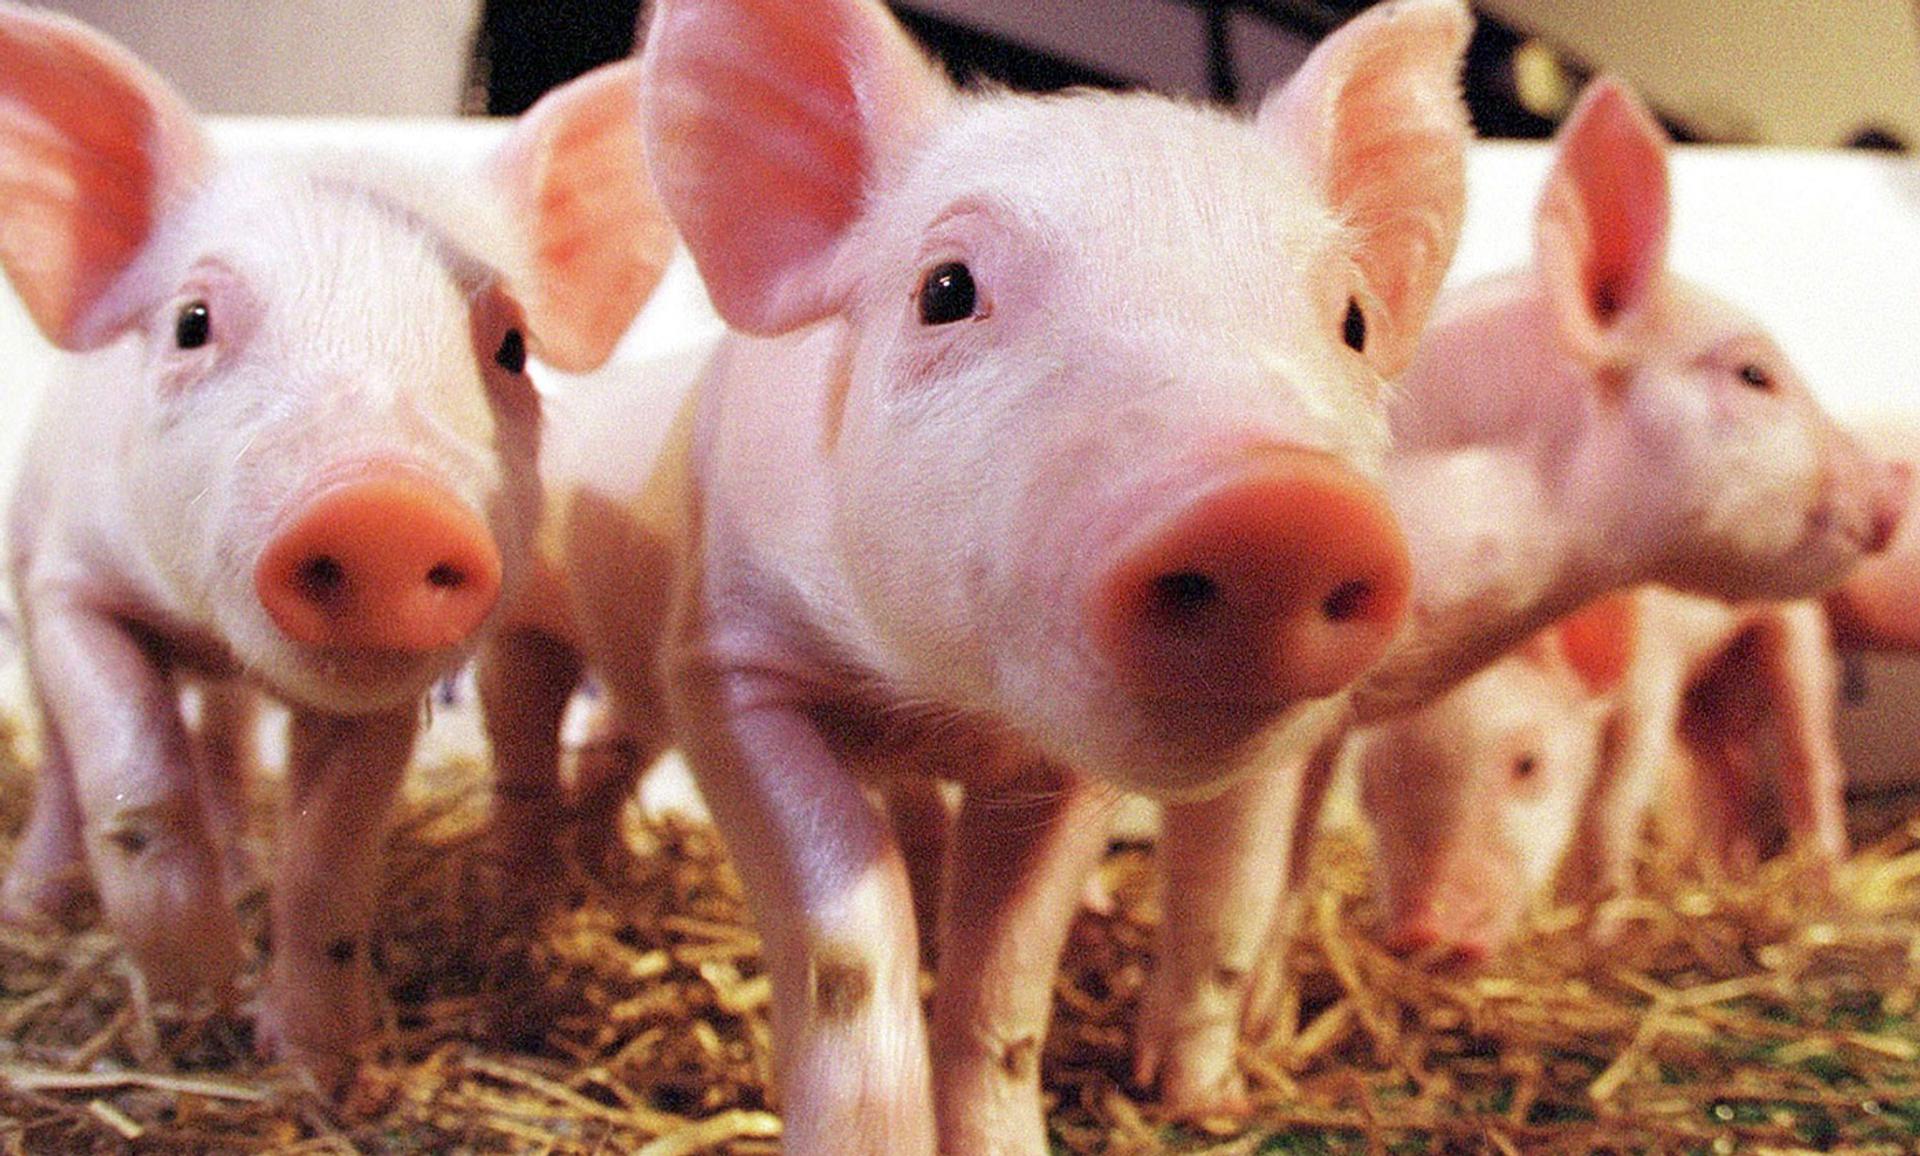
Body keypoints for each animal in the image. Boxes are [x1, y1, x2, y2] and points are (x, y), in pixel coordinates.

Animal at [0, 6, 671, 1088]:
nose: (384, 510)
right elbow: (136, 777)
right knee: (66, 765)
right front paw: (194, 1005)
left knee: (227, 741)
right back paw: (35, 909)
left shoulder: (389, 689)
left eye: (513, 347)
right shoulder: (68, 583)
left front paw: (319, 1072)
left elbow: (329, 858)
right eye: (192, 322)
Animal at [475, 0, 1477, 1150]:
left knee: (615, 747)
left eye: (1352, 320)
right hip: (527, 622)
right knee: (523, 731)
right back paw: (517, 899)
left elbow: (1006, 985)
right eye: (946, 290)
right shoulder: (724, 662)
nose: (1282, 510)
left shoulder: (1060, 771)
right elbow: (846, 948)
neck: (938, 702)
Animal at [1135, 76, 1911, 1114]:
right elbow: (1261, 891)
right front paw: (1225, 1083)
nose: (1893, 491)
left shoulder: (1636, 674)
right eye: (1755, 374)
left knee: (1804, 752)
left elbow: (1607, 806)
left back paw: (1800, 886)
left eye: (1529, 767)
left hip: (1792, 631)